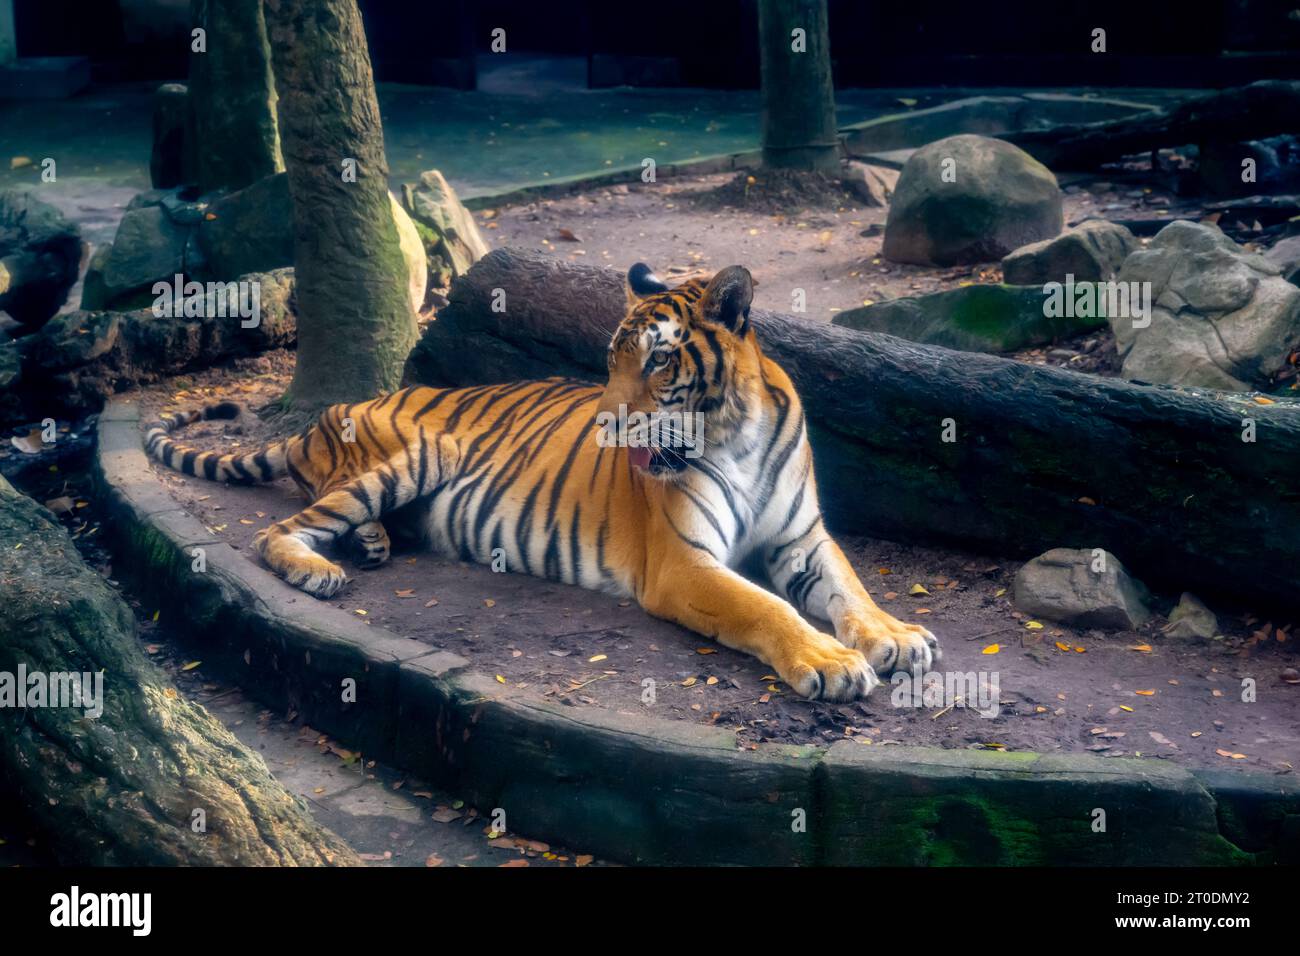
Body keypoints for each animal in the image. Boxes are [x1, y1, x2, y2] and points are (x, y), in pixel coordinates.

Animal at [146, 263, 940, 701]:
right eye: (612, 358)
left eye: (658, 360)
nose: (607, 422)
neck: (733, 430)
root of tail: (330, 412)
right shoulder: (684, 564)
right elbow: (766, 609)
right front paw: (830, 661)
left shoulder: (803, 539)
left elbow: (853, 591)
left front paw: (896, 636)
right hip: (418, 454)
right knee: (279, 528)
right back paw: (320, 571)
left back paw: (370, 544)